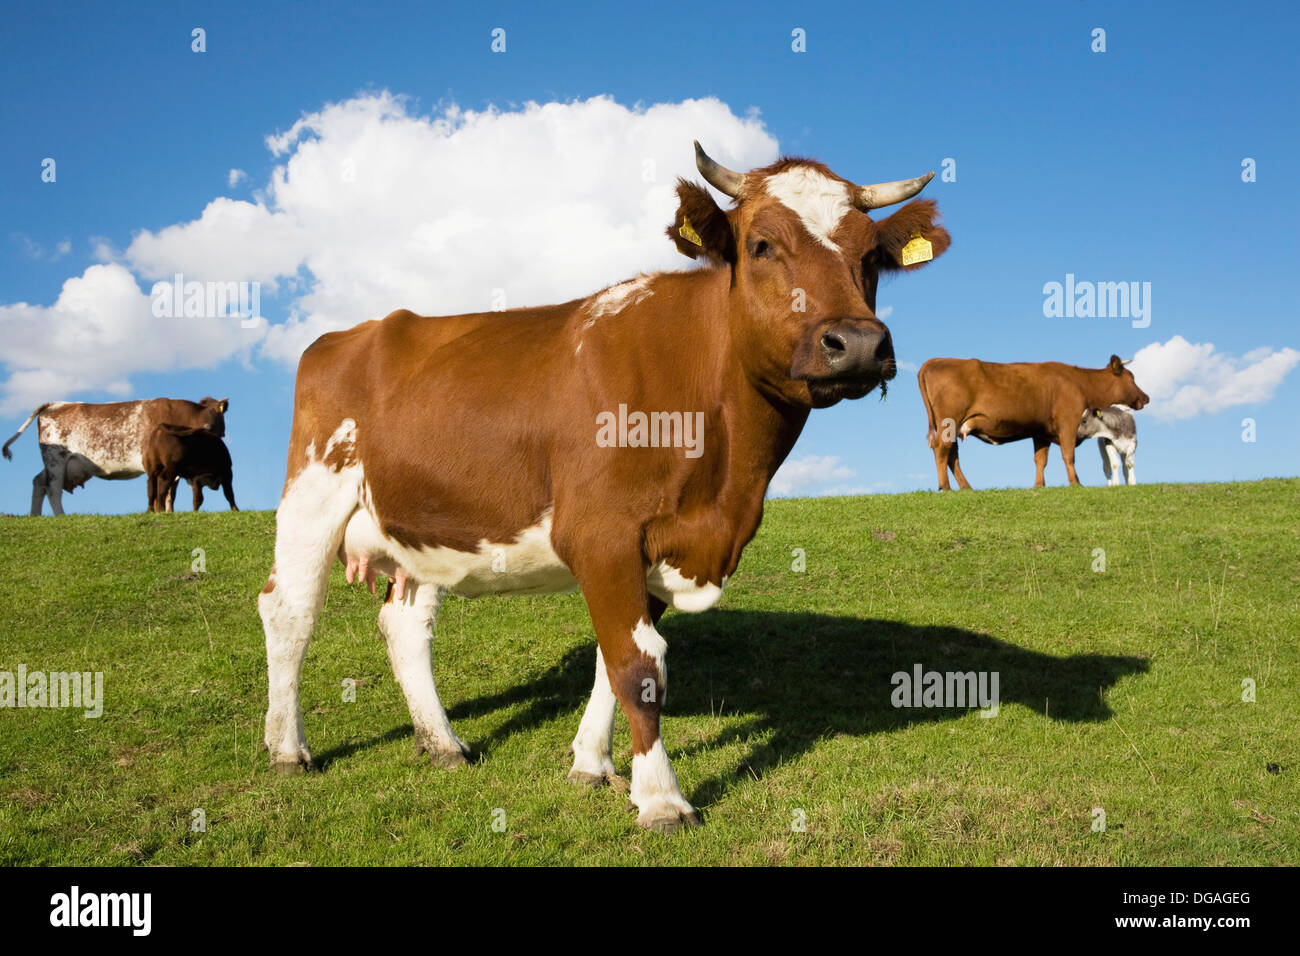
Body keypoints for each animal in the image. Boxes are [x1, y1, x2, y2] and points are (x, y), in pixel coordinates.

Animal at [2, 397, 228, 515]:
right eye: (206, 429)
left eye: (220, 429)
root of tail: (57, 404)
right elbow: (163, 492)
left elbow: (170, 493)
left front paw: (168, 513)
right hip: (56, 459)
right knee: (53, 489)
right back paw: (60, 516)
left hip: (55, 464)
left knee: (38, 481)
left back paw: (35, 516)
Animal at [258, 142, 951, 833]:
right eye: (761, 245)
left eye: (871, 256)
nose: (857, 344)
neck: (726, 480)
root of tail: (356, 331)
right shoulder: (602, 532)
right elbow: (638, 664)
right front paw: (662, 798)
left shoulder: (657, 545)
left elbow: (612, 660)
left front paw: (592, 764)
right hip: (312, 496)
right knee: (289, 611)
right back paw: (289, 749)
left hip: (424, 525)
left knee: (405, 623)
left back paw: (444, 743)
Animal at [917, 356, 1149, 490]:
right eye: (1131, 377)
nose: (1146, 397)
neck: (1080, 382)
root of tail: (937, 360)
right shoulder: (1068, 423)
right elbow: (1068, 455)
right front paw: (1076, 483)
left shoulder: (1041, 432)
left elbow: (1040, 460)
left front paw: (1039, 486)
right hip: (949, 421)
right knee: (942, 450)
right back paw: (945, 487)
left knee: (952, 454)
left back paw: (966, 487)